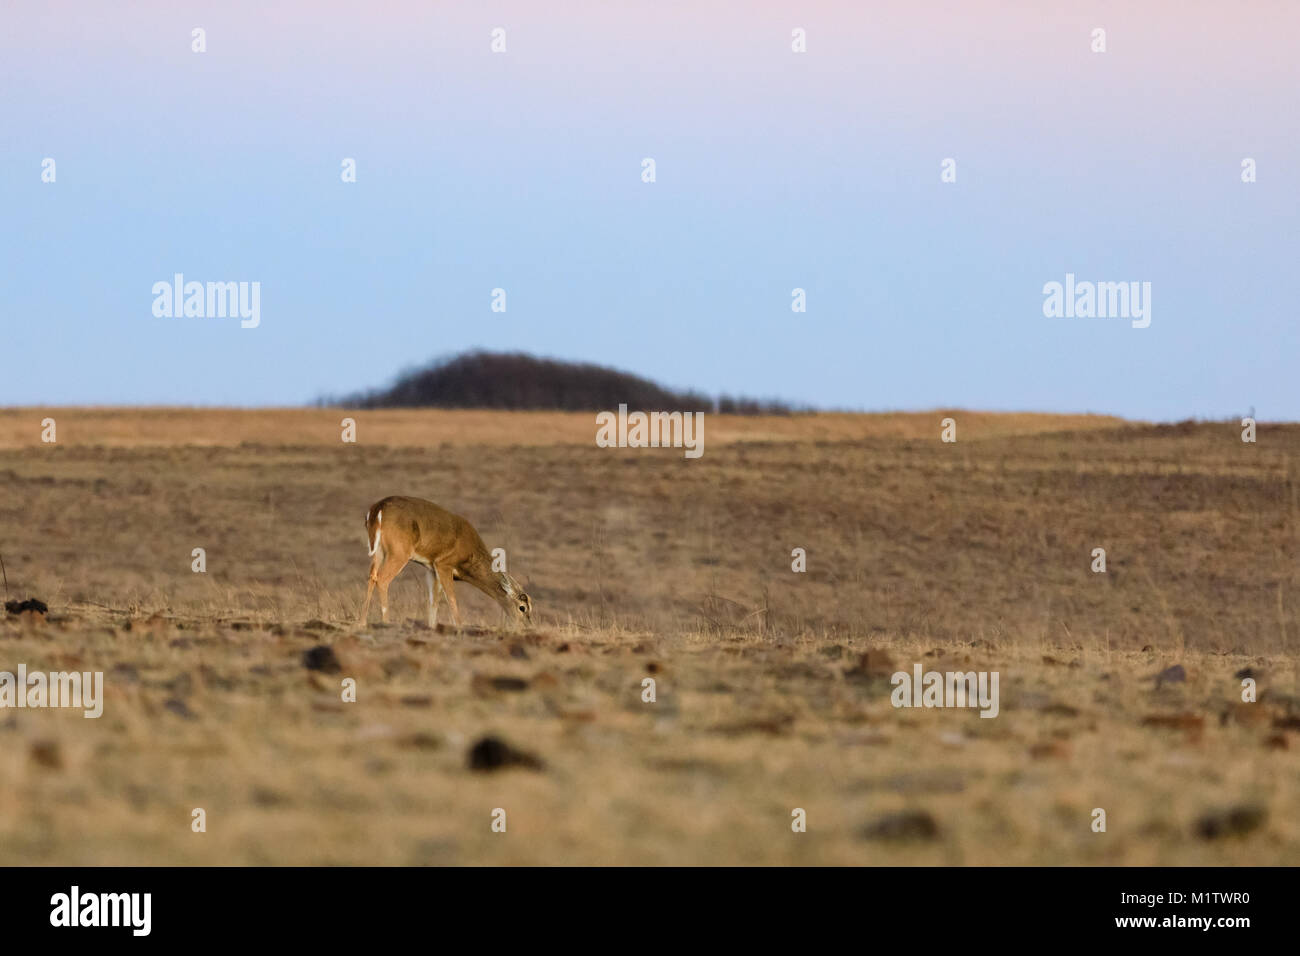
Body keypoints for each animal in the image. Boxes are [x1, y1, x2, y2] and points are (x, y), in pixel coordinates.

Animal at [358, 495, 533, 629]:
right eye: (522, 608)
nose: (528, 626)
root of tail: (377, 510)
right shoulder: (444, 564)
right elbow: (451, 598)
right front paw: (459, 627)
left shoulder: (431, 568)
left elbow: (433, 600)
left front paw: (431, 627)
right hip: (399, 552)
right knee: (382, 579)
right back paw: (386, 622)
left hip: (379, 551)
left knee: (372, 576)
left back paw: (362, 621)